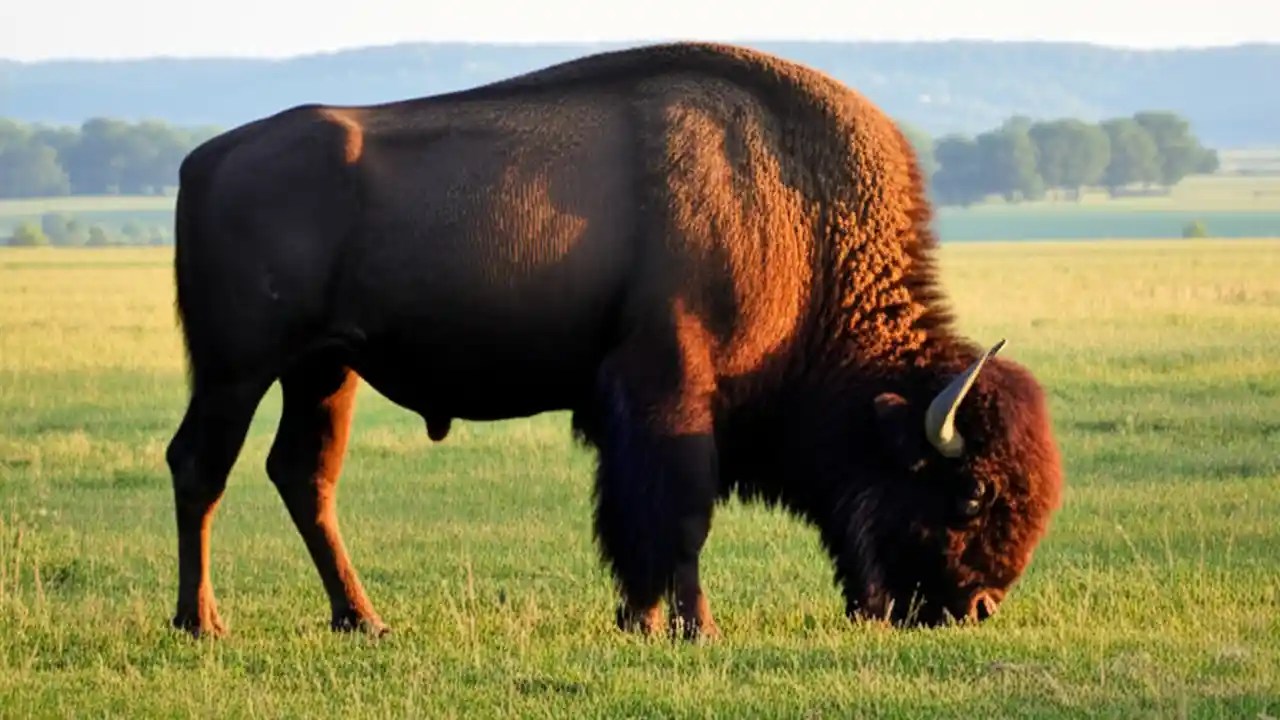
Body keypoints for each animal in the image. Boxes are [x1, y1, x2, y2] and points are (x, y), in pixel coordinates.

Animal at [165, 41, 1062, 640]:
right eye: (972, 494)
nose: (975, 607)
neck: (794, 209)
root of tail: (203, 160)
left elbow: (641, 522)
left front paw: (641, 620)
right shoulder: (673, 389)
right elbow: (679, 514)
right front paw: (693, 628)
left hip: (324, 371)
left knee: (304, 477)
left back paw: (363, 621)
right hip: (237, 371)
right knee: (200, 468)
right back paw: (201, 622)